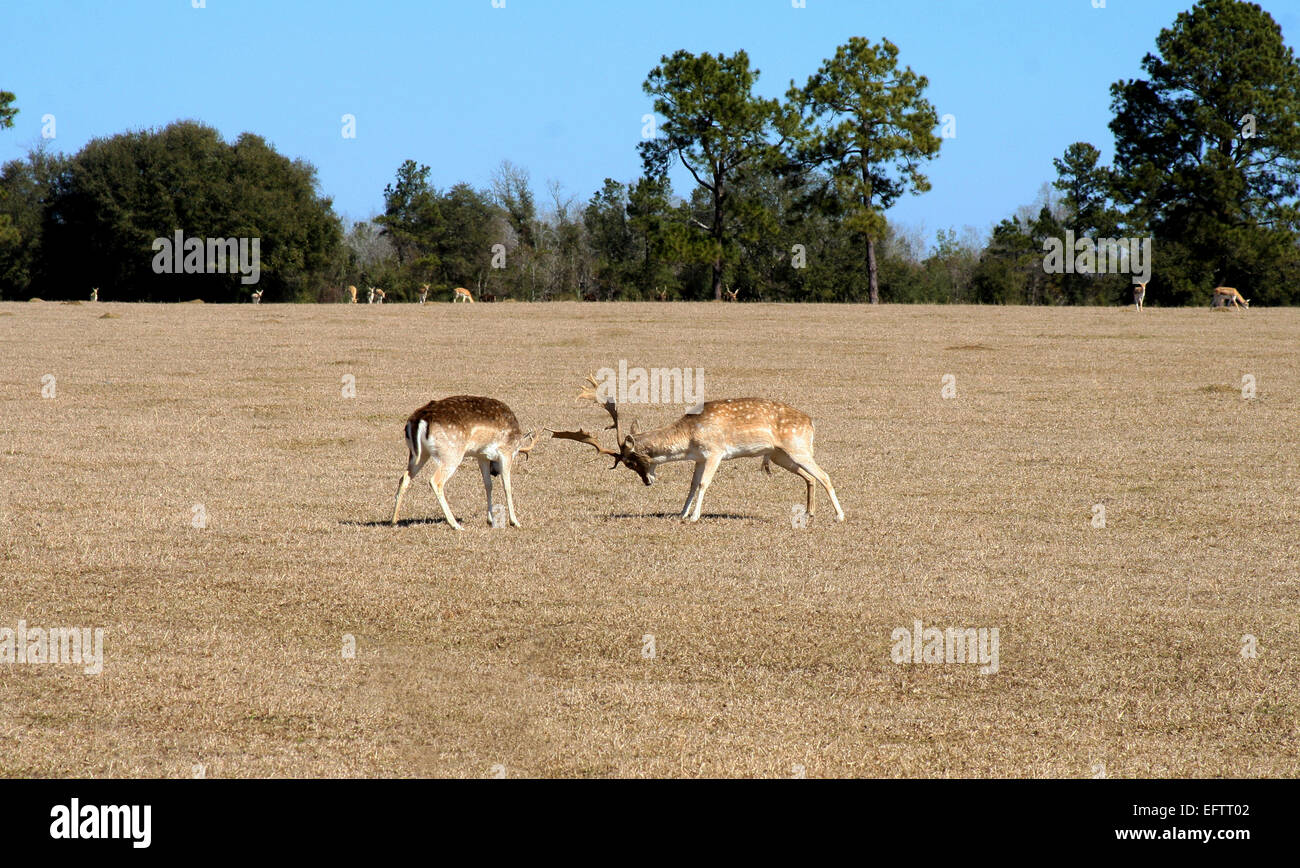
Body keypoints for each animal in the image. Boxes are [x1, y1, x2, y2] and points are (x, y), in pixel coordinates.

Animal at [391, 396, 539, 530]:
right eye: (515, 454)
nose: (494, 471)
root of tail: (418, 420)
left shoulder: (482, 456)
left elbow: (488, 485)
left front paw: (490, 520)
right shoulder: (505, 452)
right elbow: (507, 487)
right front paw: (515, 522)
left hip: (418, 454)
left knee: (404, 477)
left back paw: (394, 520)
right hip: (451, 454)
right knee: (435, 481)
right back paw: (455, 525)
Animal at [550, 375, 844, 523]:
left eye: (631, 462)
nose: (648, 482)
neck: (689, 436)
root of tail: (810, 421)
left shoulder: (715, 452)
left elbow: (704, 484)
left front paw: (694, 517)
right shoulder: (699, 458)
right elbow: (691, 485)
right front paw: (681, 514)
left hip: (798, 447)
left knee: (825, 475)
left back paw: (839, 516)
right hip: (780, 455)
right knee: (810, 477)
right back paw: (809, 513)